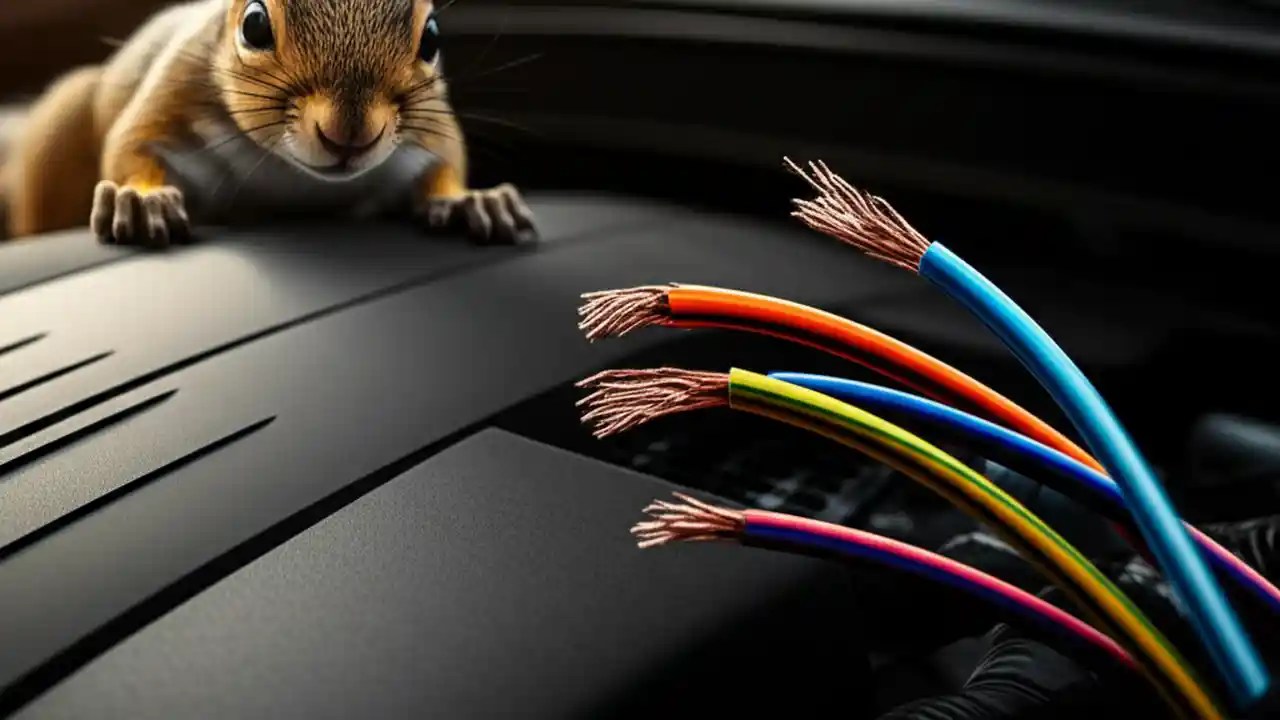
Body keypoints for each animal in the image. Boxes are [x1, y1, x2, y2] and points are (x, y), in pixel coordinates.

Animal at [0, 0, 535, 246]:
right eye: (254, 24)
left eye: (432, 38)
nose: (349, 133)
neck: (291, 177)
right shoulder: (173, 92)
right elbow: (131, 145)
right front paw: (138, 201)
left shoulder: (428, 131)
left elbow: (445, 161)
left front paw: (472, 201)